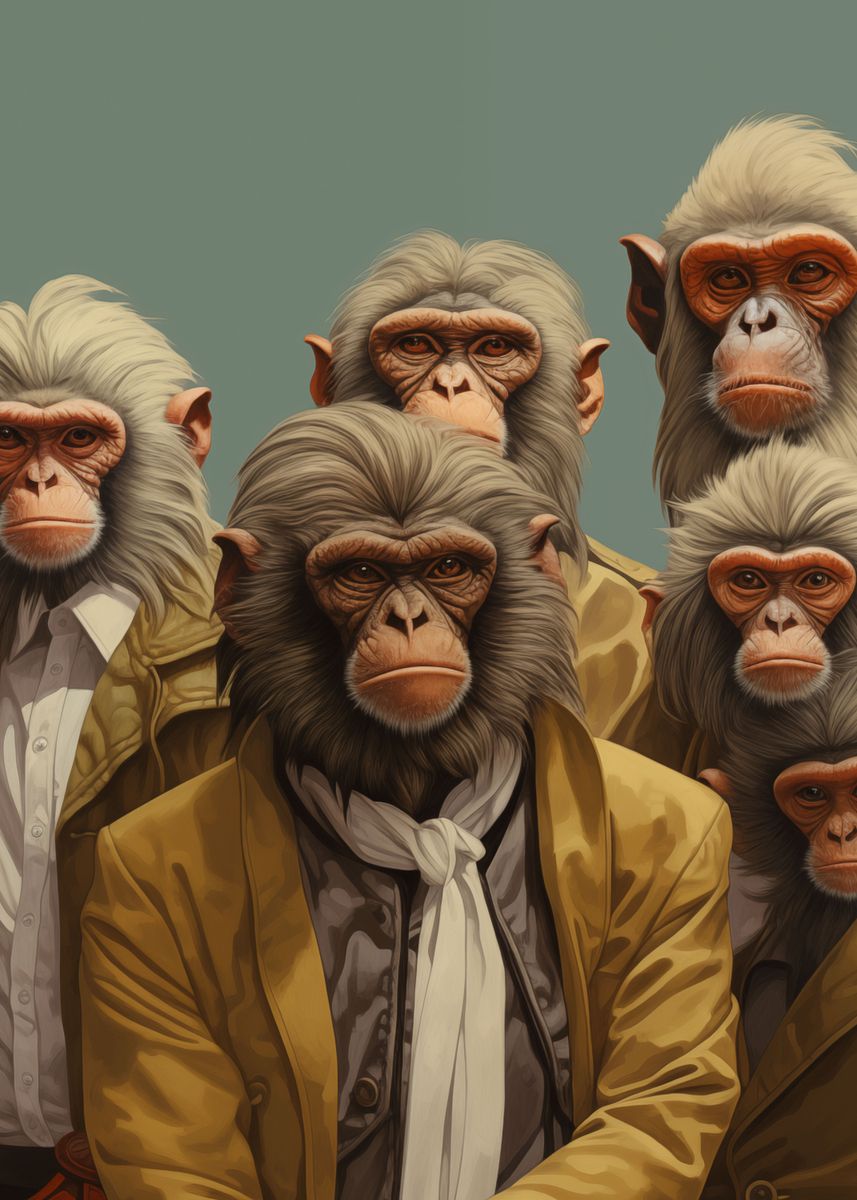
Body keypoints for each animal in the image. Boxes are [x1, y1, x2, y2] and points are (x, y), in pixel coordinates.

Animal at [79, 401, 738, 1200]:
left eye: (448, 568)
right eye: (359, 573)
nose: (408, 619)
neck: (426, 815)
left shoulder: (686, 866)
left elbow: (657, 1095)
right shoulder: (127, 904)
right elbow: (179, 1147)